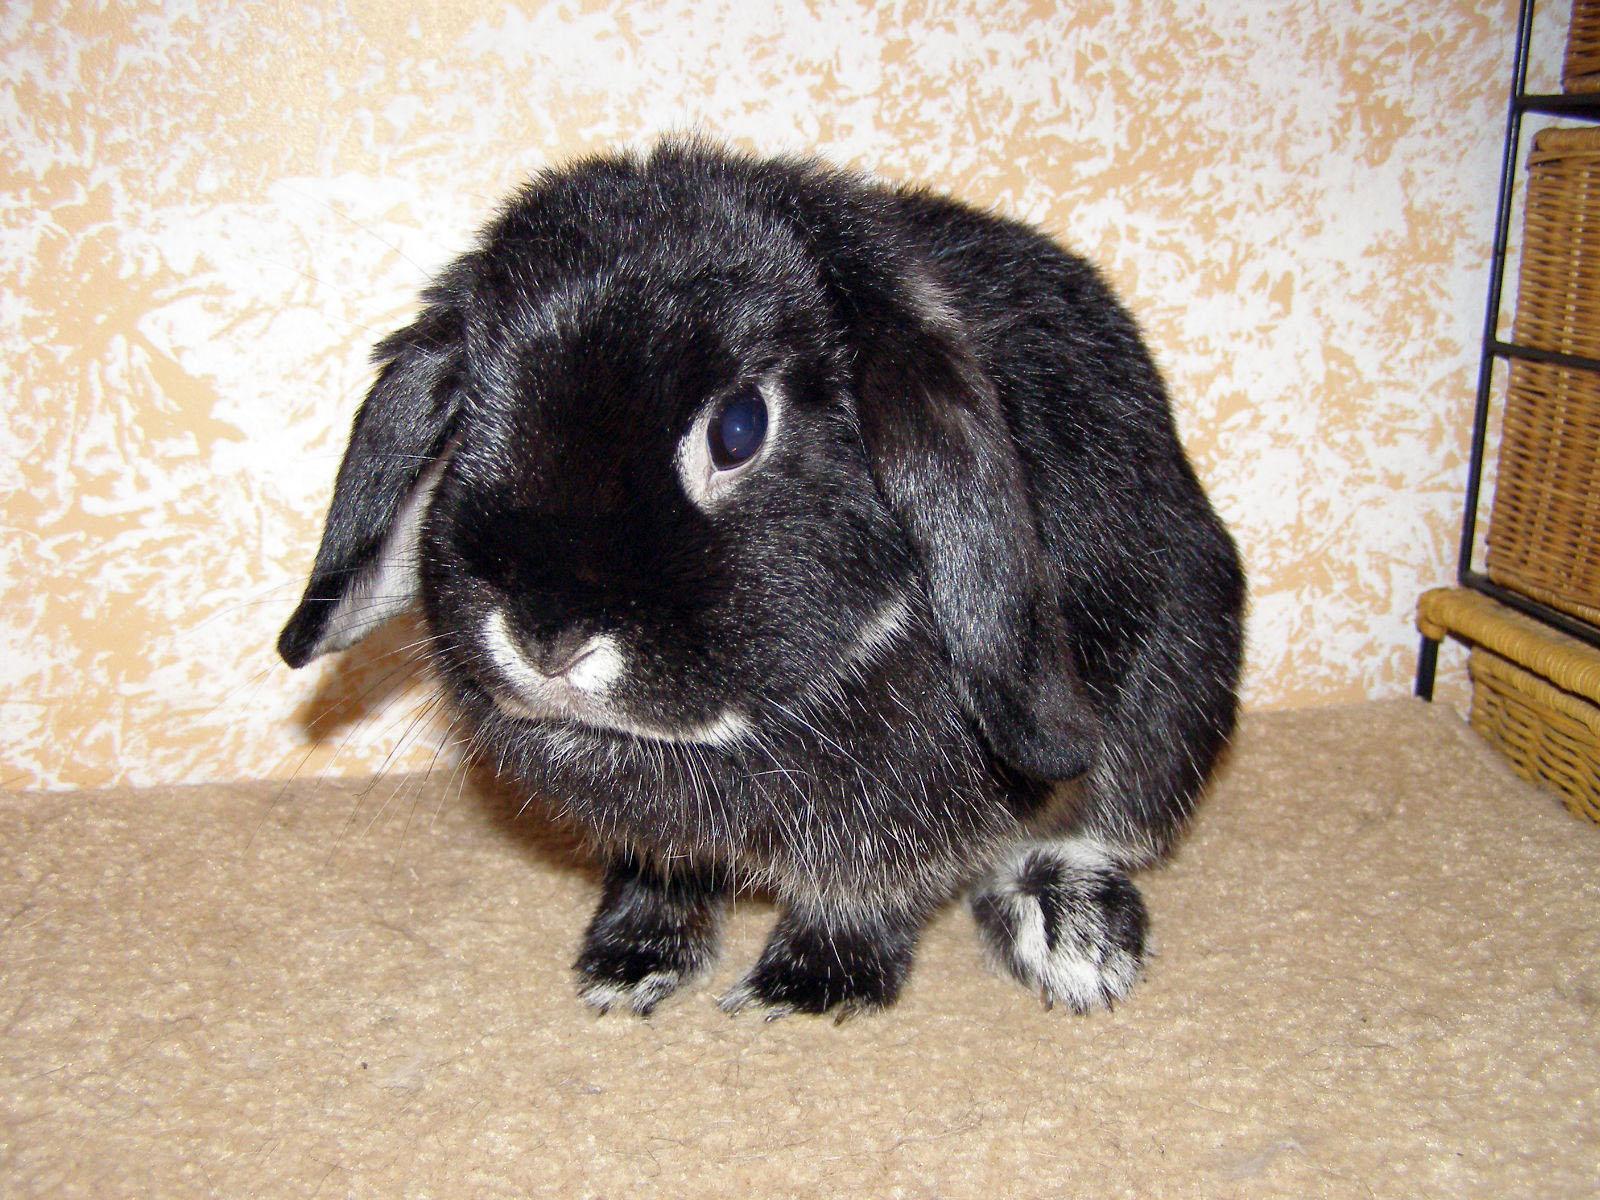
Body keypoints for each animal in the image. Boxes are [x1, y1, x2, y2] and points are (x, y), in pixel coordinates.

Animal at [278, 138, 1246, 1020]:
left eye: (739, 429)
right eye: (469, 415)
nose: (546, 636)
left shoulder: (907, 822)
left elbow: (866, 895)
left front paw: (806, 987)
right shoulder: (657, 842)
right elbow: (660, 879)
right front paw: (628, 965)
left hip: (1176, 696)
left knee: (1101, 828)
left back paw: (1074, 935)